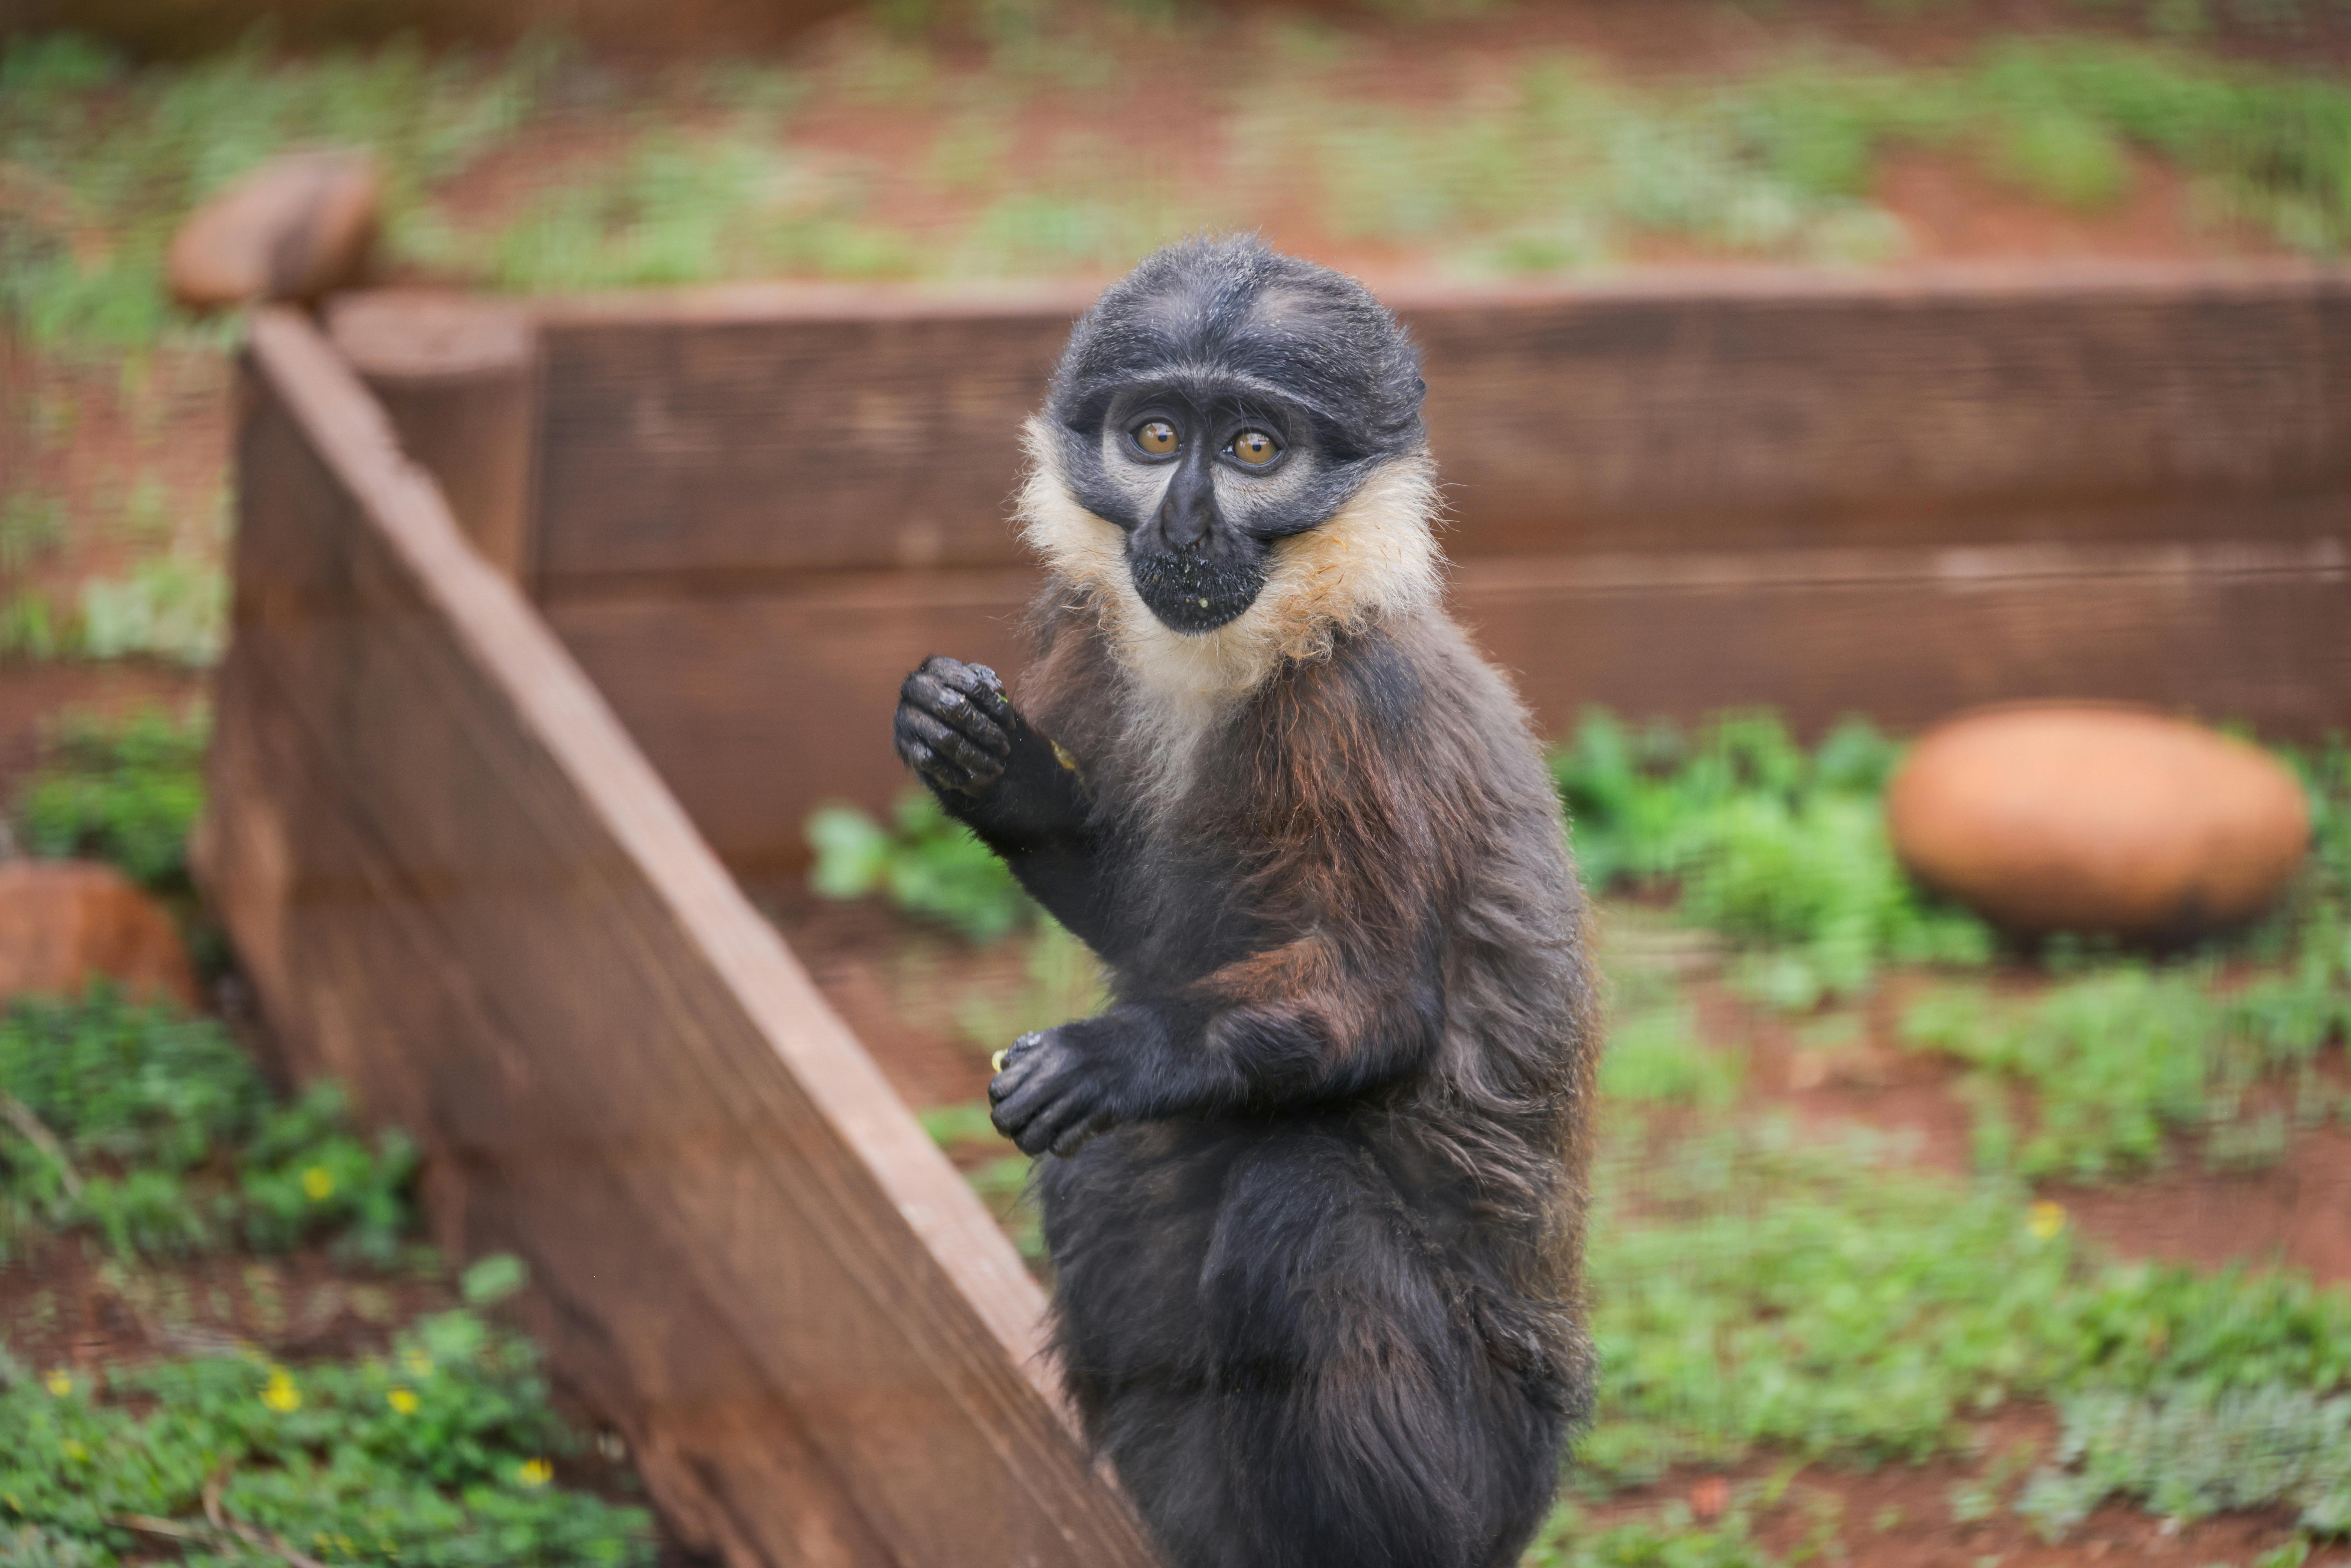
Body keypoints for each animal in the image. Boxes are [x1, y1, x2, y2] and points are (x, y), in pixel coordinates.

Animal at [892, 235, 1598, 1568]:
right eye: (1159, 436)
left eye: (1255, 449)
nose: (1180, 521)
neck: (1260, 641)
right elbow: (1155, 935)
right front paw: (984, 759)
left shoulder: (1355, 715)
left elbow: (1375, 1000)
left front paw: (1119, 1055)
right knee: (1106, 1167)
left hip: (1479, 1473)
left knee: (1293, 1200)